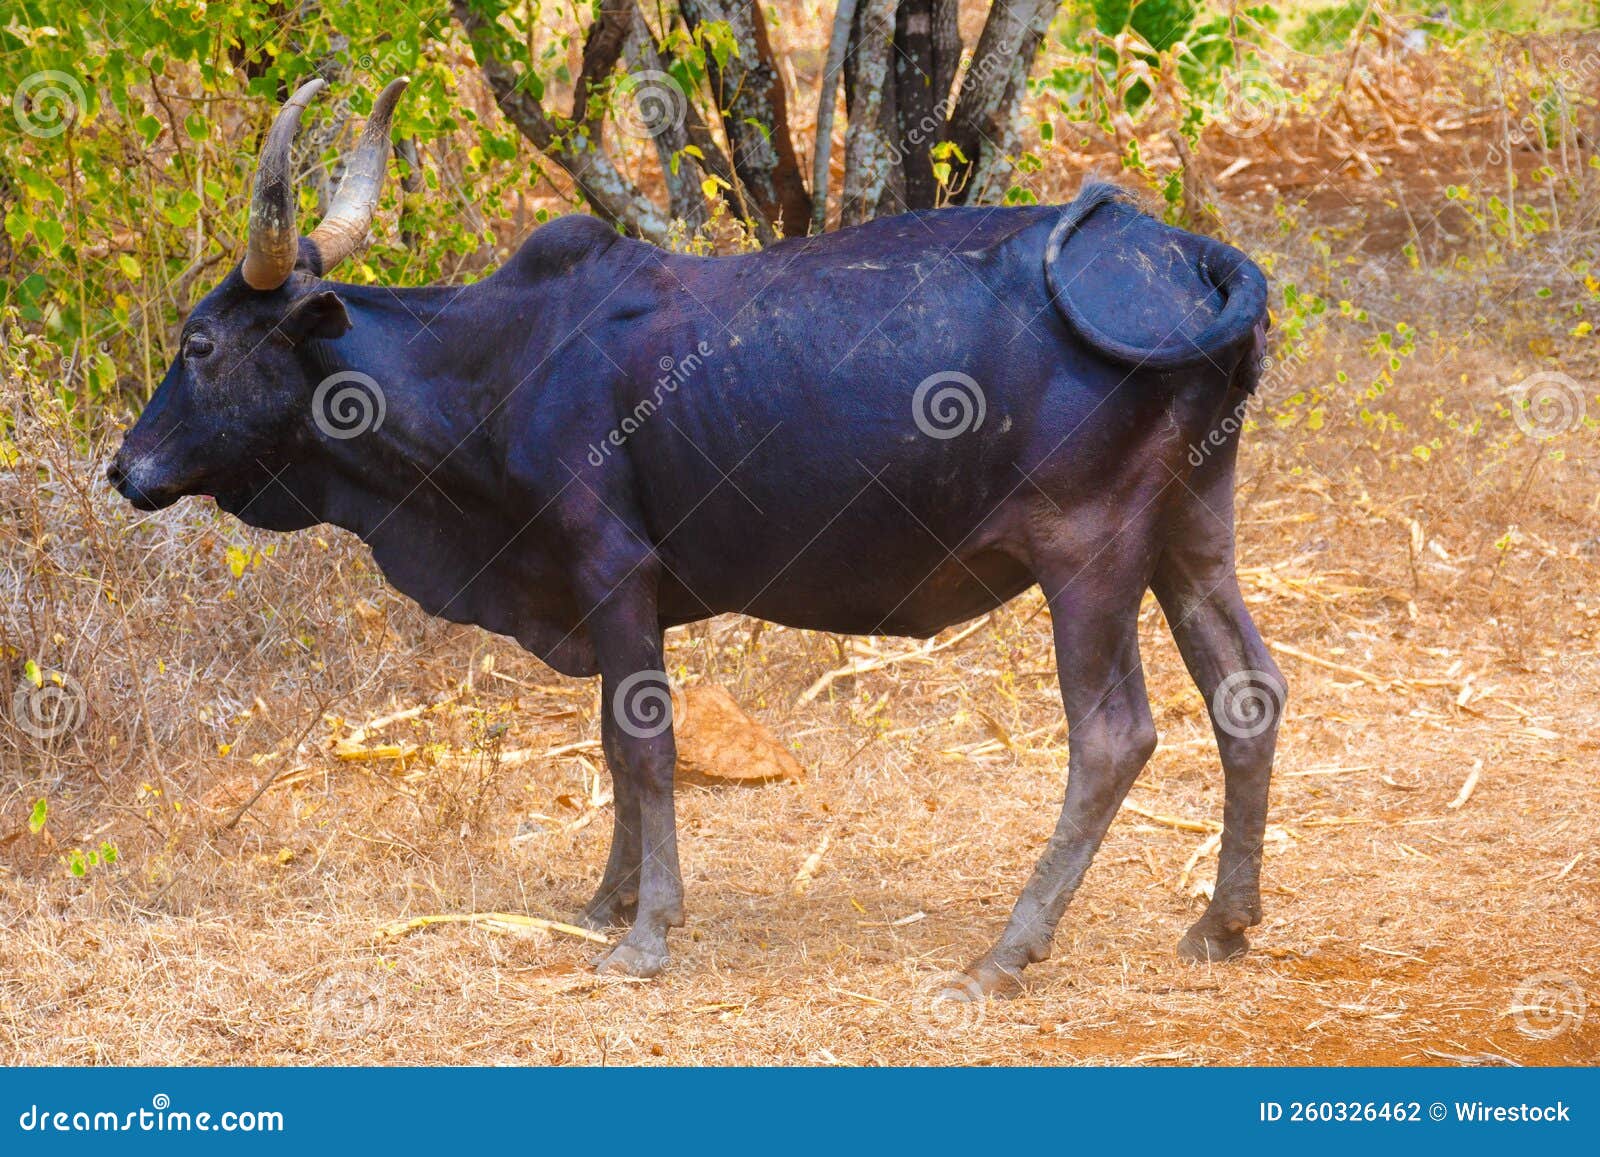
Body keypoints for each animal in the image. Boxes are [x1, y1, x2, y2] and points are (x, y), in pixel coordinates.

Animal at [108, 79, 1284, 997]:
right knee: (1249, 691)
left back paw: (1005, 952)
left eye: (199, 342)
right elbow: (611, 743)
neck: (496, 364)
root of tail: (1183, 251)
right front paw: (605, 896)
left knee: (1113, 736)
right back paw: (1221, 922)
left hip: (1087, 553)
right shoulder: (602, 598)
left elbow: (643, 746)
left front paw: (646, 931)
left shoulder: (611, 570)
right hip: (1190, 532)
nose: (124, 468)